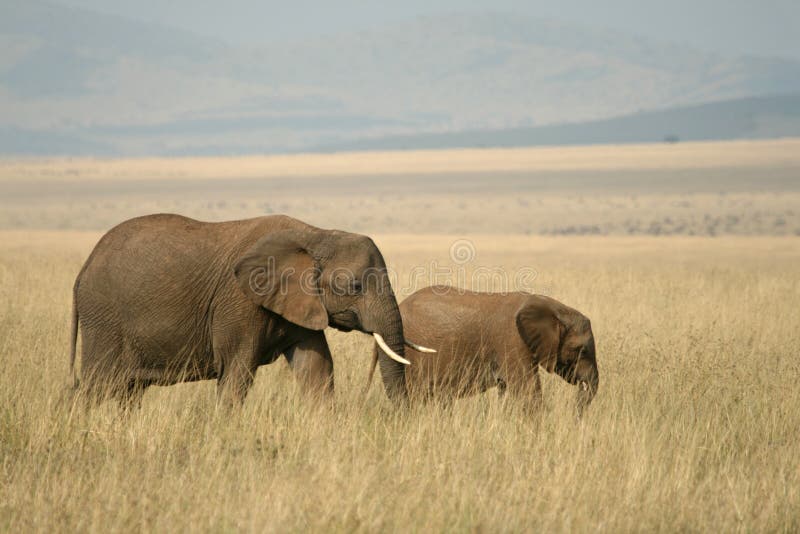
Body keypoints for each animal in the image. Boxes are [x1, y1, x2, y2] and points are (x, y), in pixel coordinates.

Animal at [69, 213, 432, 408]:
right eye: (354, 286)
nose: (406, 416)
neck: (314, 235)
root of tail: (82, 269)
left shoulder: (298, 302)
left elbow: (316, 367)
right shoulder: (239, 303)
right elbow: (237, 371)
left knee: (128, 390)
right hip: (104, 317)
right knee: (97, 385)